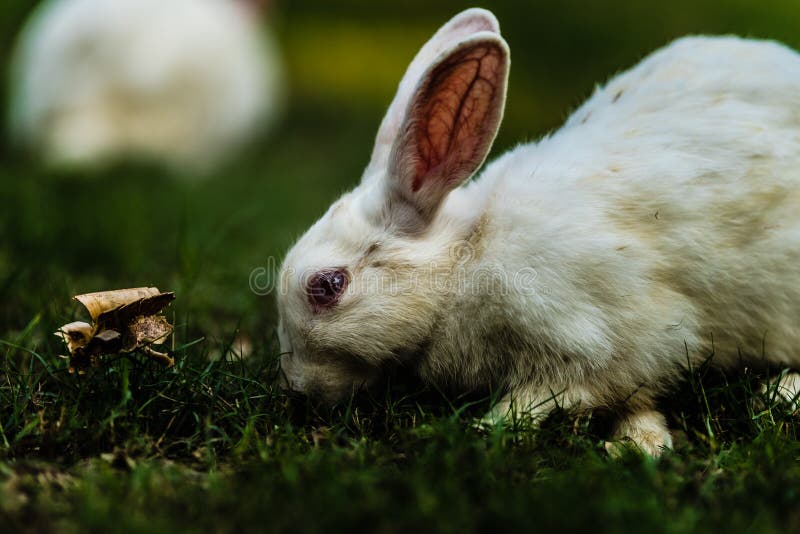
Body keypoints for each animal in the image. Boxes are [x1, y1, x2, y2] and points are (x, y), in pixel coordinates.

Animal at [276, 7, 800, 456]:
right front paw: (641, 440)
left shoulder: (593, 340)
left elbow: (549, 398)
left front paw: (486, 428)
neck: (464, 258)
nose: (298, 389)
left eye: (328, 285)